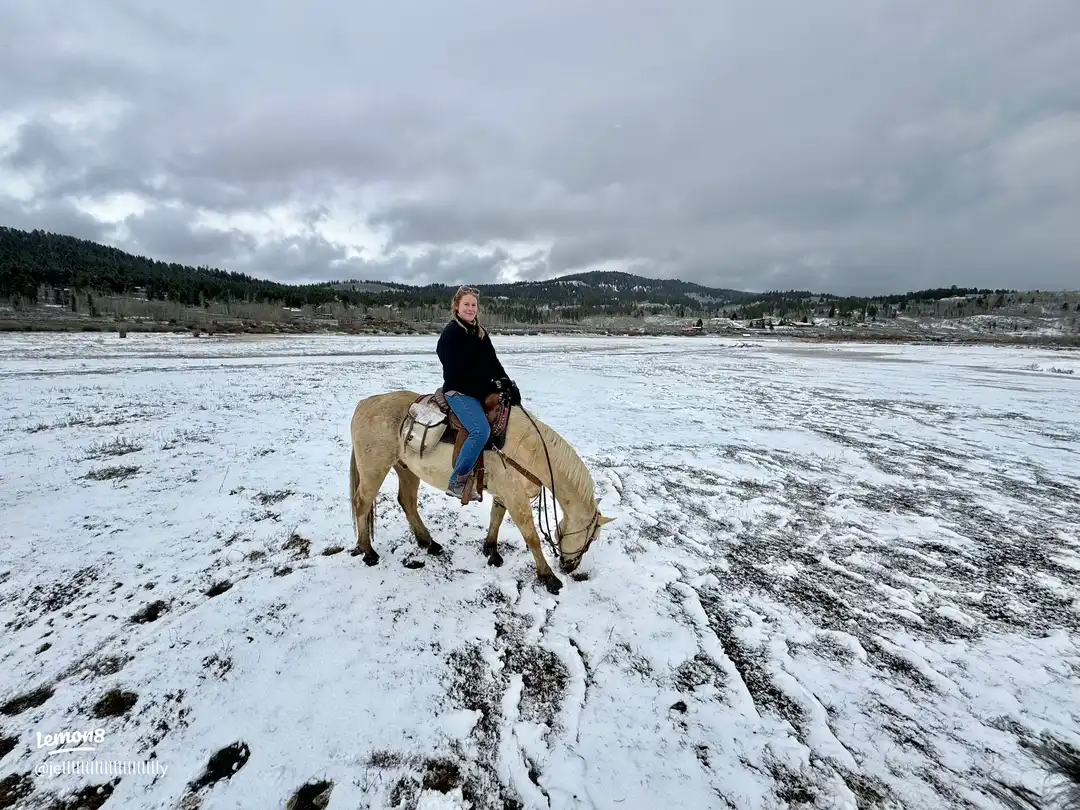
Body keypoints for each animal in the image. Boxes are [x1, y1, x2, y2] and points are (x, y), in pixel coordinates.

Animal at [347, 390, 615, 594]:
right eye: (592, 538)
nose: (570, 566)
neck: (530, 451)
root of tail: (364, 404)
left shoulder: (505, 494)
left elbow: (496, 518)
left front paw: (491, 551)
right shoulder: (516, 498)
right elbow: (532, 537)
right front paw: (548, 577)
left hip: (406, 469)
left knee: (408, 502)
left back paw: (429, 543)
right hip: (374, 469)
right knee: (362, 503)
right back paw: (368, 552)